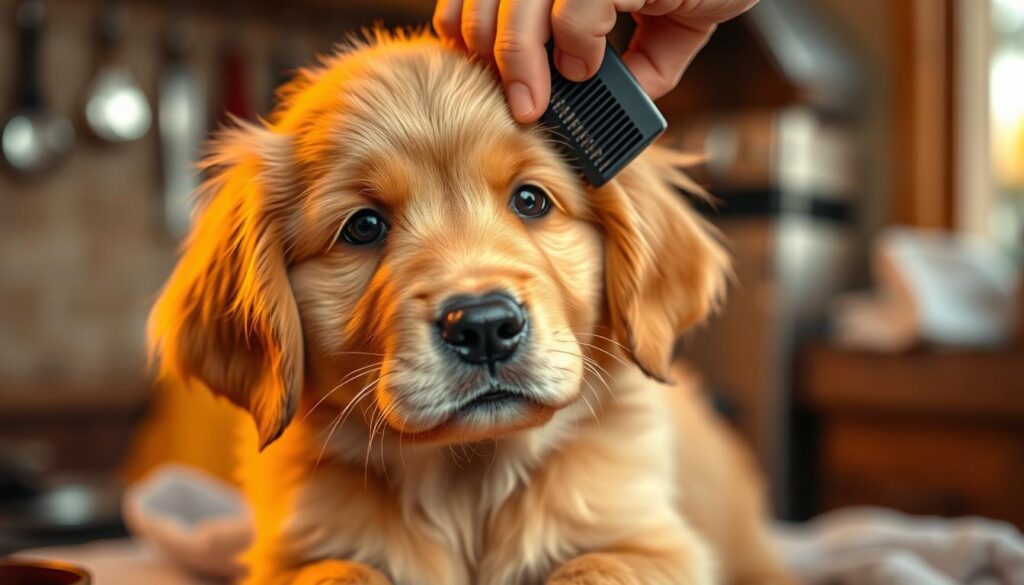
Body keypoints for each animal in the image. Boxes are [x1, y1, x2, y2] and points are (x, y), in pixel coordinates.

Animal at [149, 30, 790, 585]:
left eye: (531, 200)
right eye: (363, 227)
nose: (483, 327)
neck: (467, 480)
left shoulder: (653, 544)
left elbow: (593, 567)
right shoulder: (290, 558)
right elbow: (341, 572)